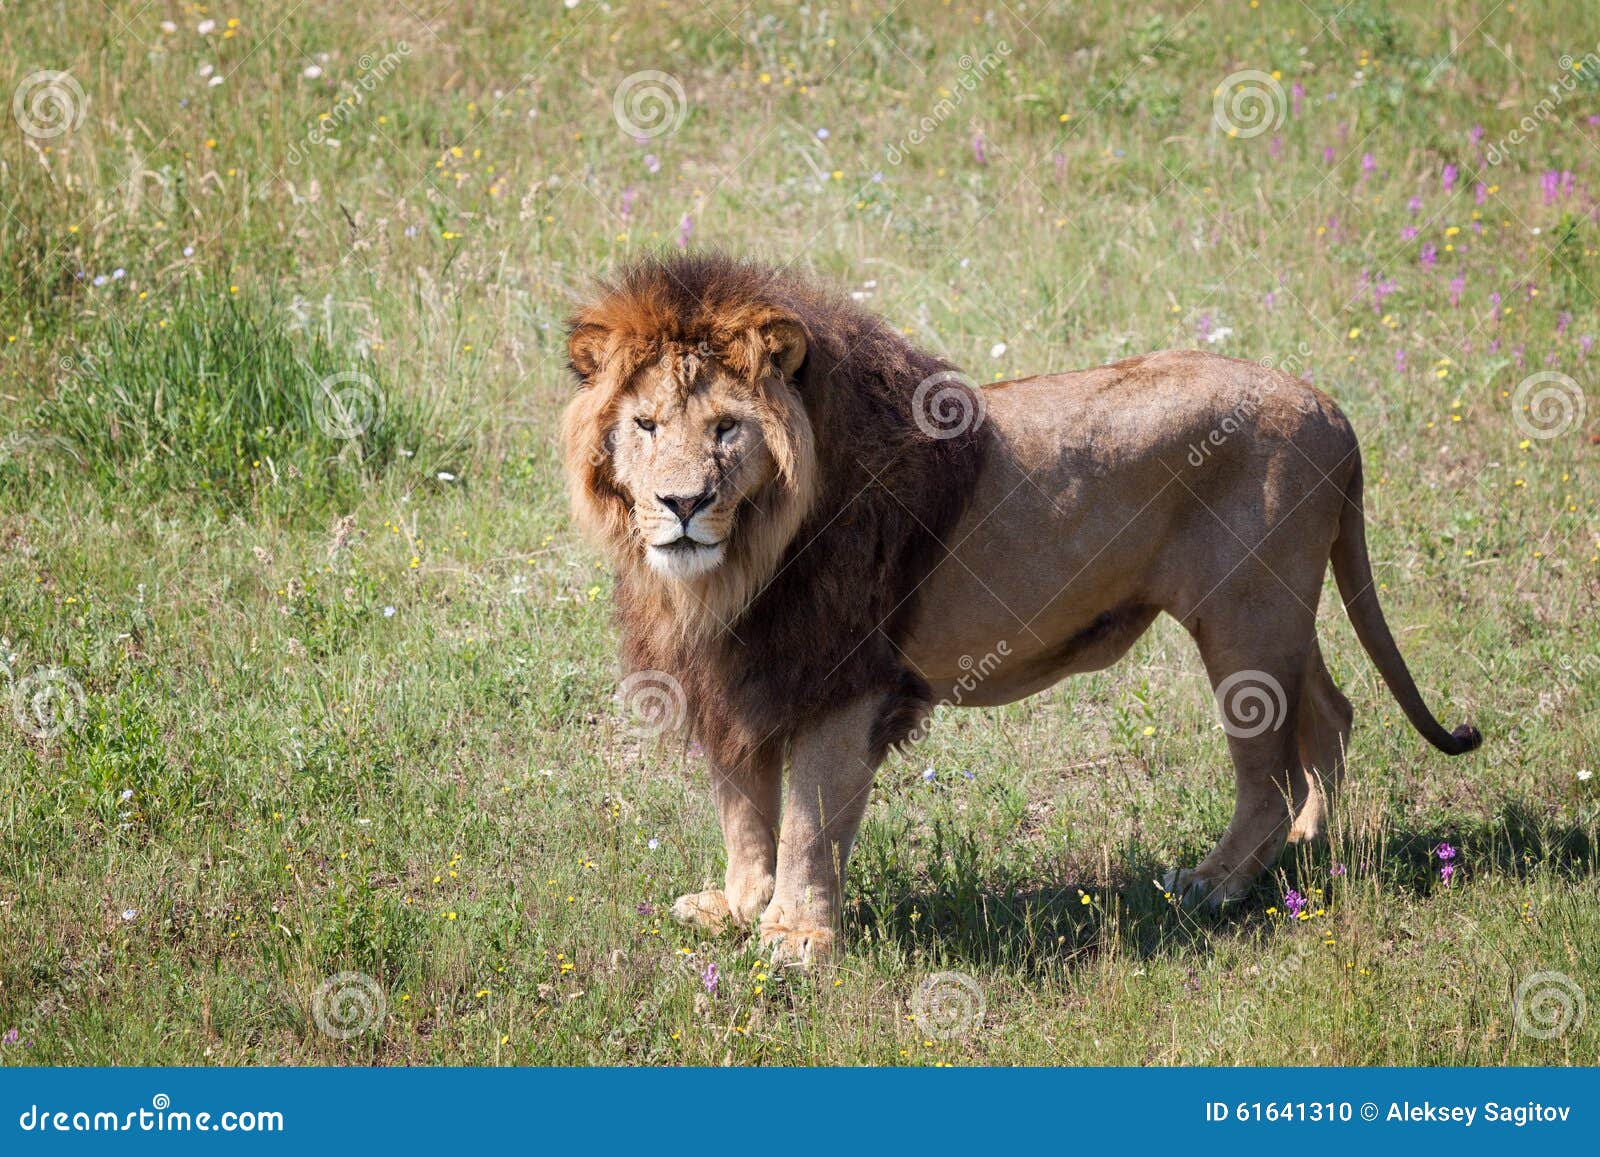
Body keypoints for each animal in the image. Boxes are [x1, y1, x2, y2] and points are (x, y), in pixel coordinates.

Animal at [561, 253, 1481, 965]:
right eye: (646, 424)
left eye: (725, 429)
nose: (683, 503)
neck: (733, 566)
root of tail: (1328, 405)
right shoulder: (732, 678)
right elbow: (744, 807)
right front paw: (737, 907)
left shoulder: (844, 678)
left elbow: (808, 821)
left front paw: (796, 937)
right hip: (1280, 607)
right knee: (1331, 711)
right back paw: (1305, 845)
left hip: (1244, 621)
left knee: (1269, 772)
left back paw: (1216, 882)